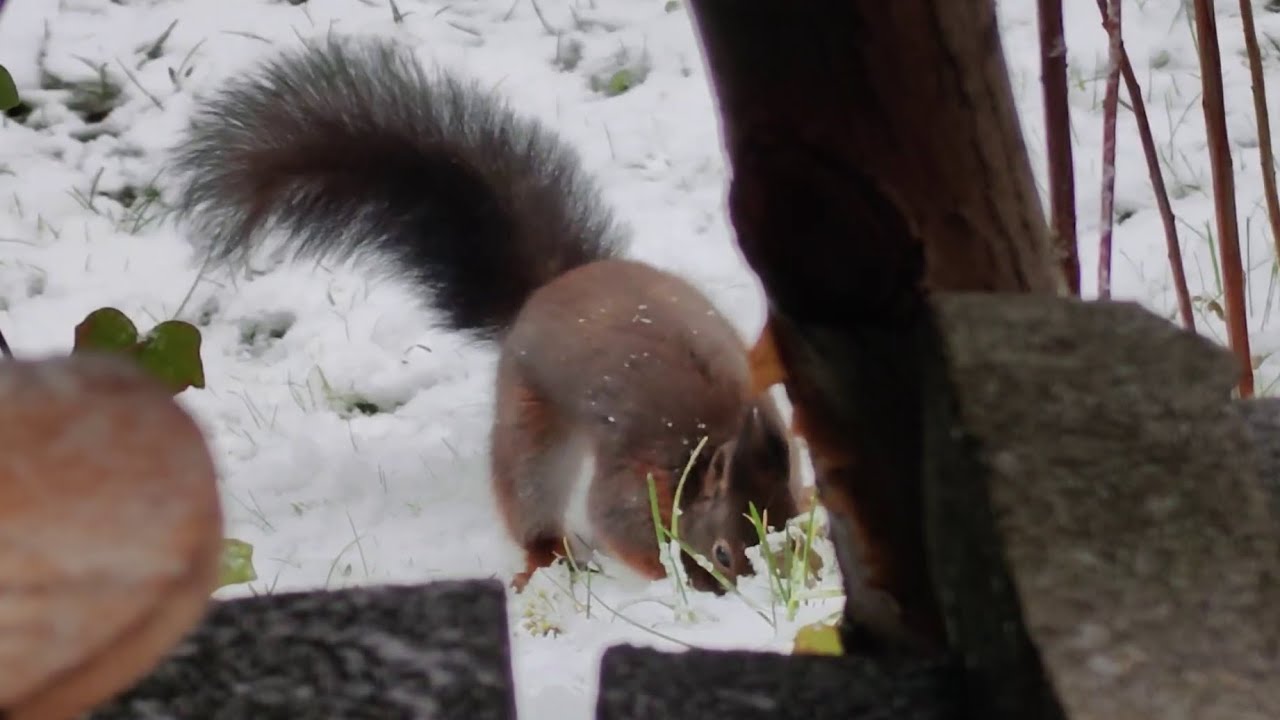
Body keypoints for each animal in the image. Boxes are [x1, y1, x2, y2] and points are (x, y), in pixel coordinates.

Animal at [168, 35, 802, 594]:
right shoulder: (638, 475)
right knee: (530, 497)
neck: (710, 440)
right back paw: (548, 556)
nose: (758, 590)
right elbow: (616, 523)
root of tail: (550, 287)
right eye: (723, 551)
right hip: (531, 426)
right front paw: (679, 577)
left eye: (796, 533)